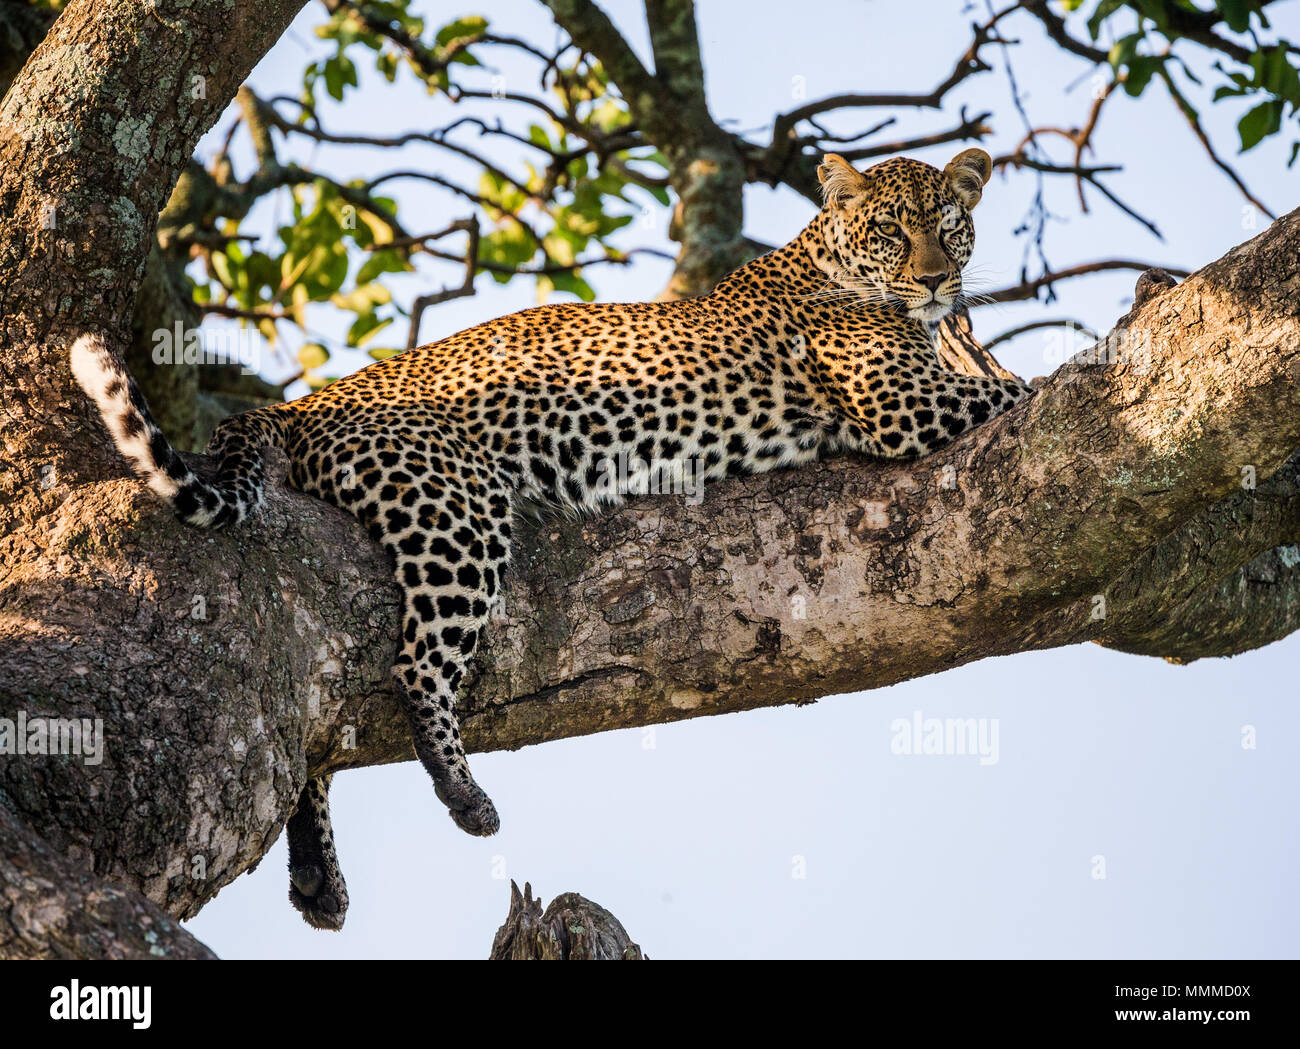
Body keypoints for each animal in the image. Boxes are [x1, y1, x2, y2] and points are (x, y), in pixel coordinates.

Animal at [71, 148, 1032, 929]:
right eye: (892, 230)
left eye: (949, 225)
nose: (938, 281)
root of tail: (301, 403)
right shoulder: (906, 405)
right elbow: (1029, 384)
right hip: (456, 510)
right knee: (414, 667)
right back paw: (464, 795)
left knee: (321, 729)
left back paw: (317, 878)